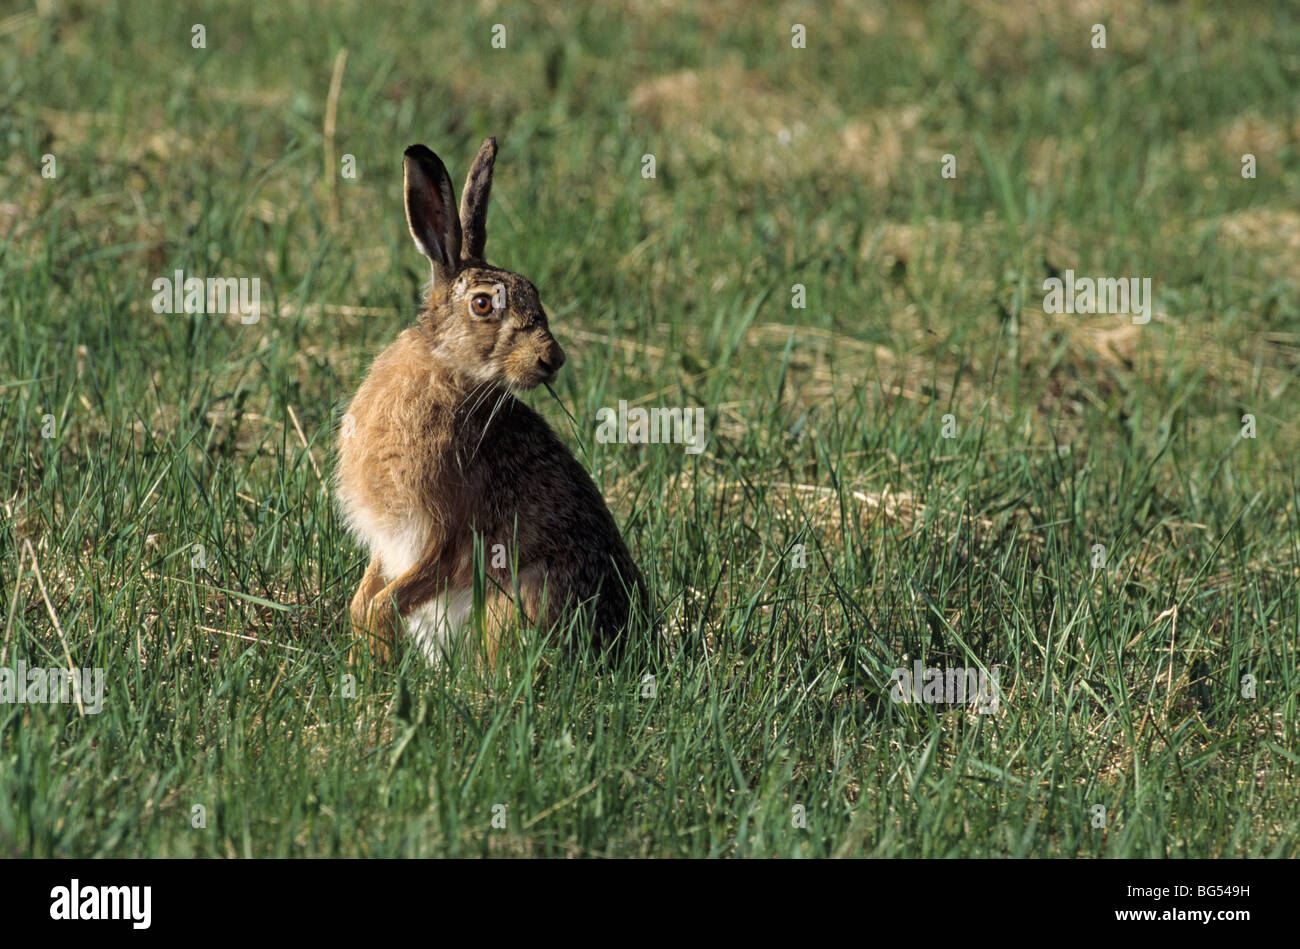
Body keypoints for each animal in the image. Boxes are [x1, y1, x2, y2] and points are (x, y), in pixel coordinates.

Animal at [335, 138, 646, 666]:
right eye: (483, 304)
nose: (552, 359)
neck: (444, 368)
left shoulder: (448, 538)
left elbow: (386, 602)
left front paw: (369, 663)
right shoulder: (392, 541)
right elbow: (367, 596)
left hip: (521, 602)